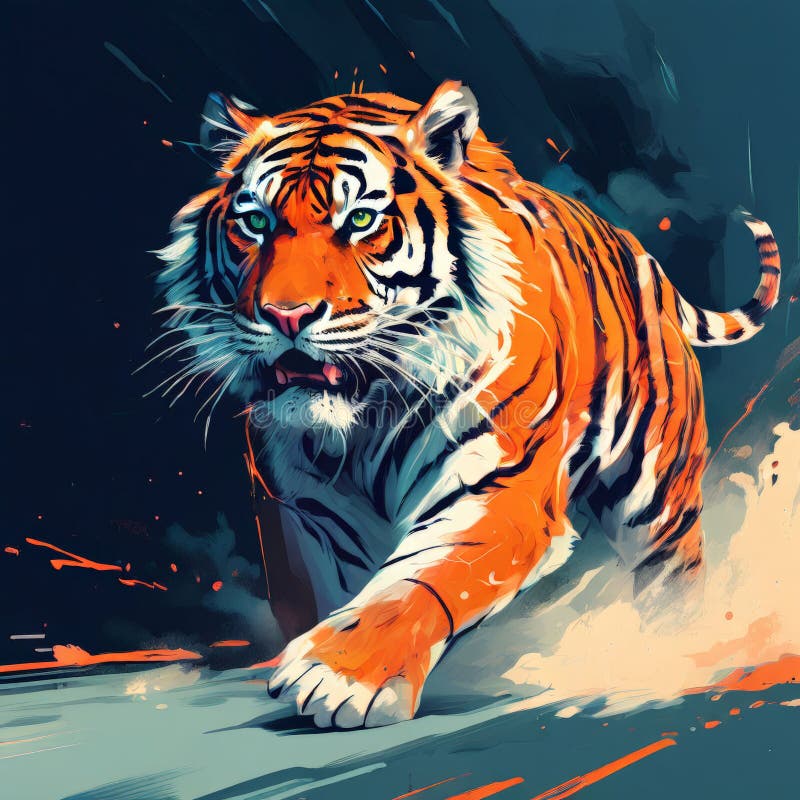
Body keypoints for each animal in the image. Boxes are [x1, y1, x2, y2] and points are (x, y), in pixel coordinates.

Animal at [156, 81, 780, 729]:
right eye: (255, 222)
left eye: (361, 220)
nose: (286, 315)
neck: (362, 423)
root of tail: (644, 256)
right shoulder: (305, 512)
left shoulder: (501, 484)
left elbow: (425, 578)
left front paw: (337, 675)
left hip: (659, 498)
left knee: (673, 577)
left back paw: (668, 651)